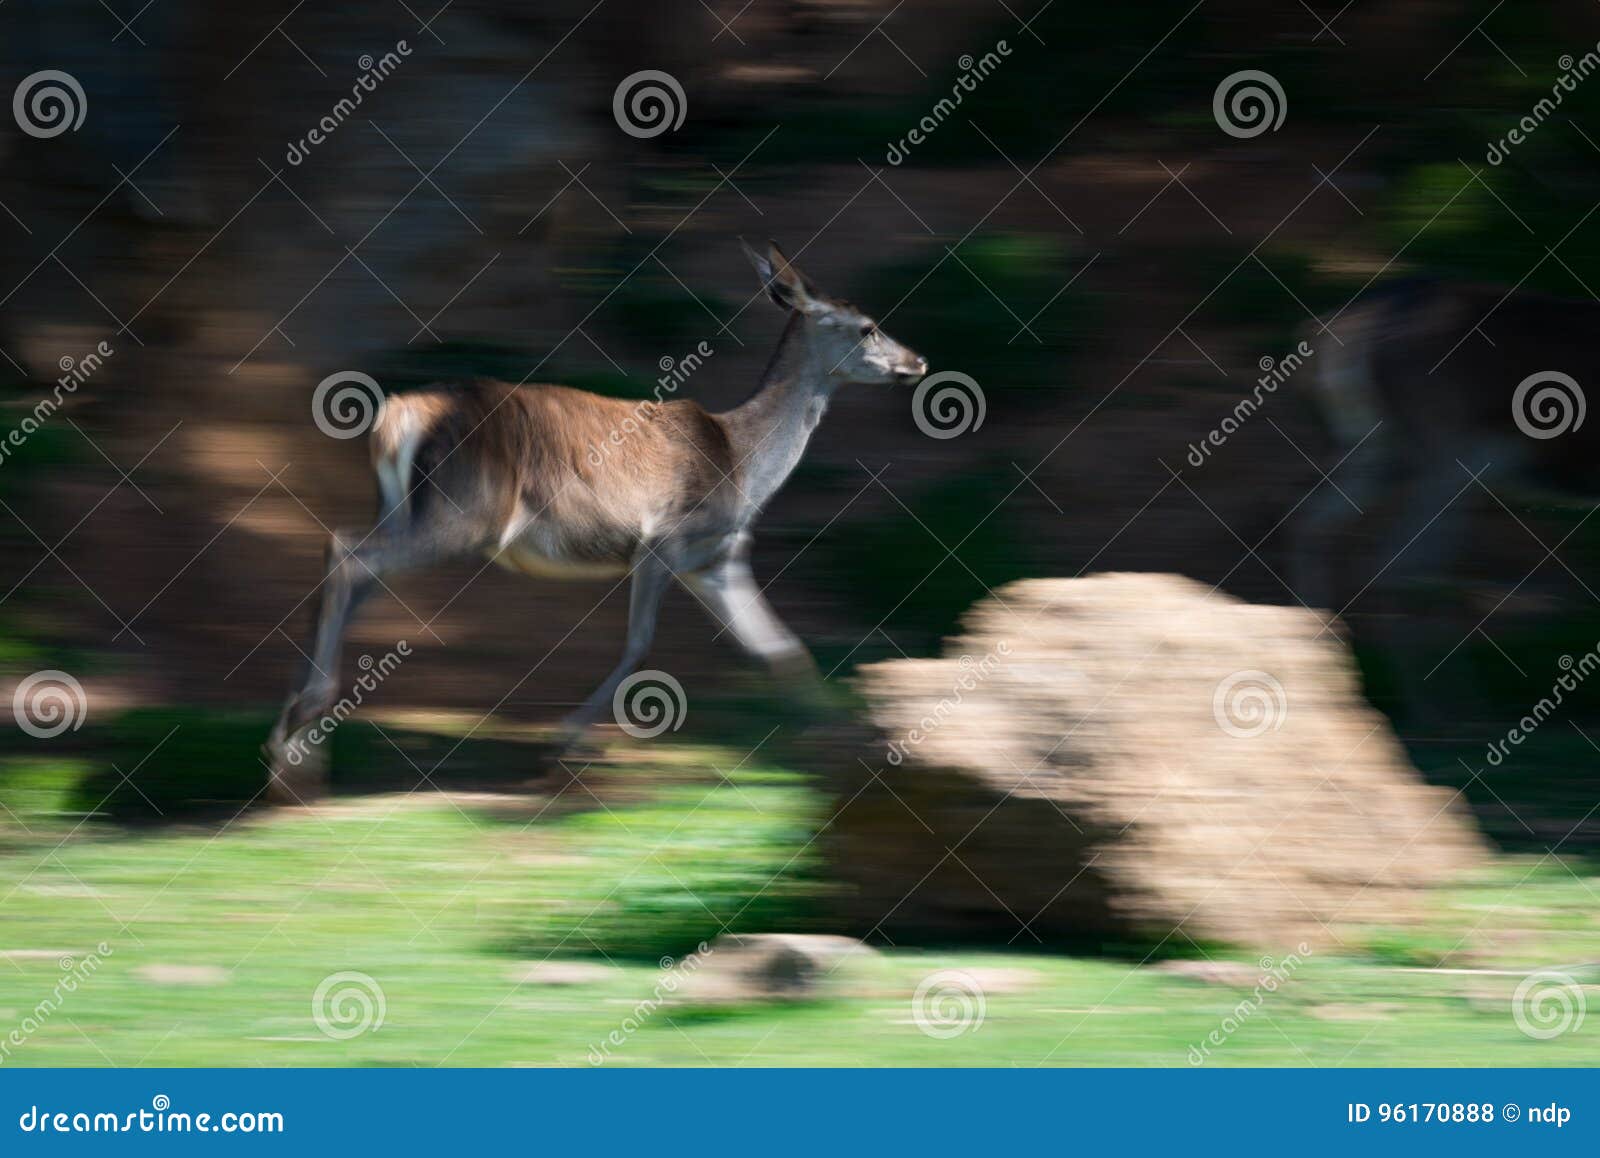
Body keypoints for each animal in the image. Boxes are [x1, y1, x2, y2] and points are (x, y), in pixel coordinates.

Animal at [264, 241, 928, 802]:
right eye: (867, 326)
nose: (918, 361)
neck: (741, 464)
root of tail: (394, 417)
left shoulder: (716, 559)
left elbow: (779, 648)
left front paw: (848, 747)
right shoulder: (662, 542)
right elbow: (640, 643)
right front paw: (564, 743)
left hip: (412, 508)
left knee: (353, 564)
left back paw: (295, 746)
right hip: (466, 513)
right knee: (348, 553)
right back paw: (300, 728)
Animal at [1289, 277, 1600, 726]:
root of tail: (1335, 330)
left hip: (1377, 451)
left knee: (1316, 527)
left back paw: (1320, 660)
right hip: (1448, 454)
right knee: (1400, 564)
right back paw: (1445, 710)